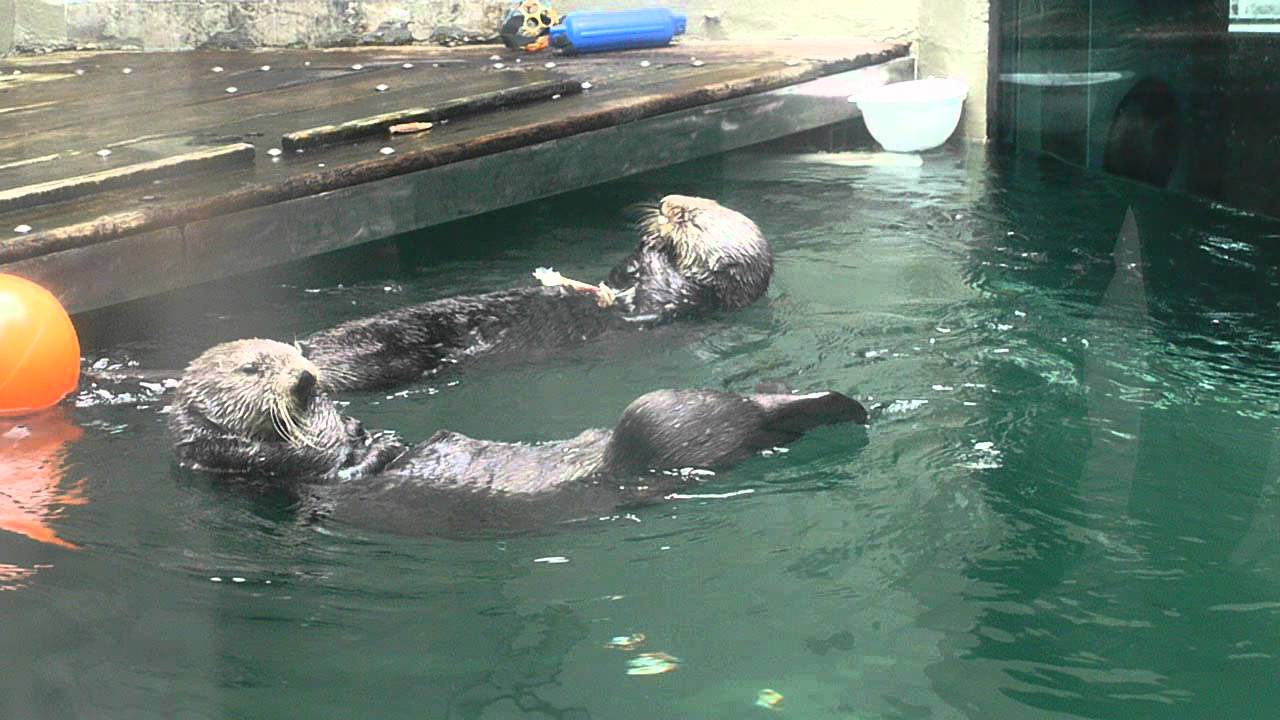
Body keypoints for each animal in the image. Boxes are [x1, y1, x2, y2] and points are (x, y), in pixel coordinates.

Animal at [169, 339, 867, 537]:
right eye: (252, 367)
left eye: (294, 351)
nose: (308, 377)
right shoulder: (262, 467)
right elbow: (327, 462)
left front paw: (365, 425)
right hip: (654, 425)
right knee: (745, 416)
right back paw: (840, 405)